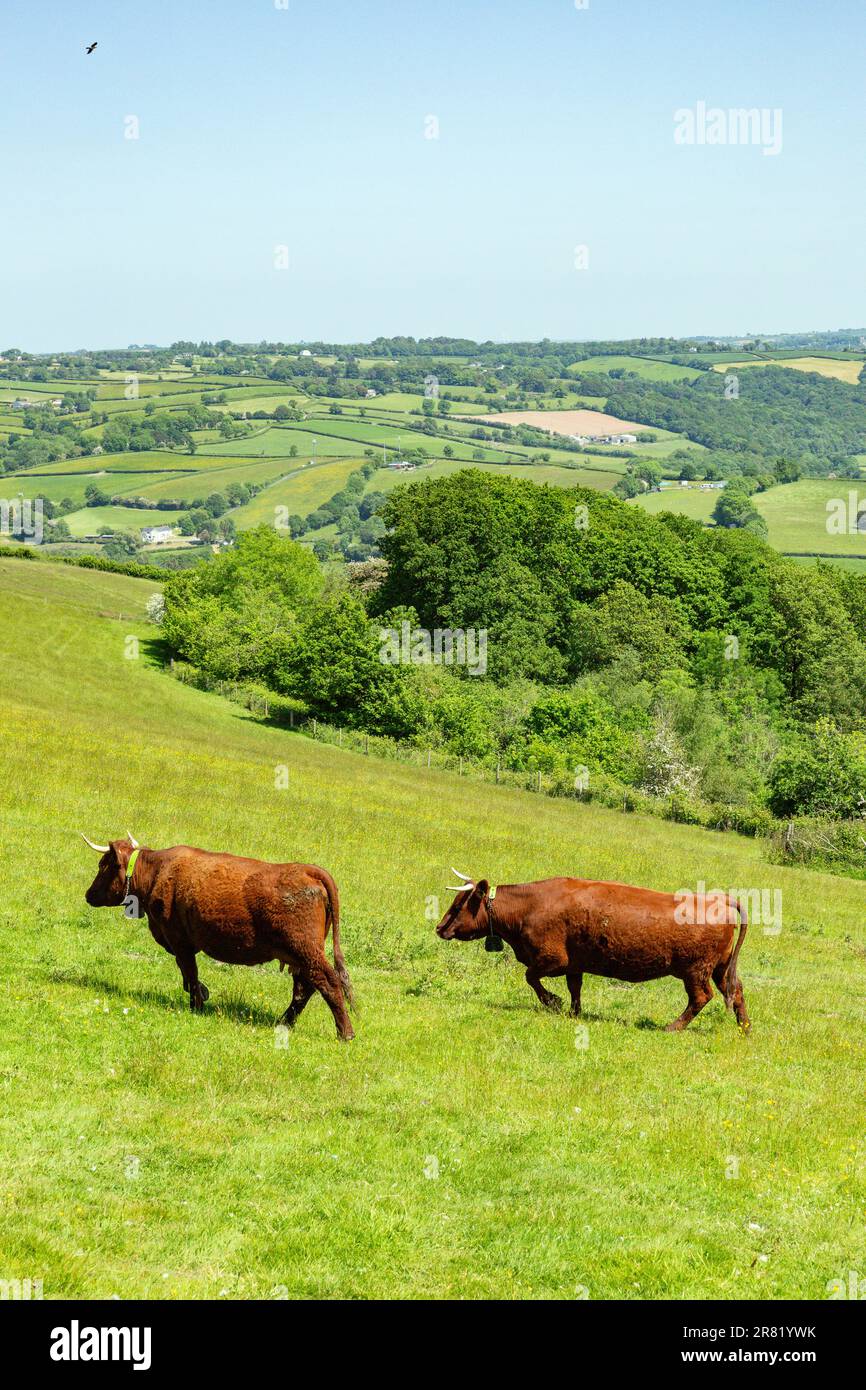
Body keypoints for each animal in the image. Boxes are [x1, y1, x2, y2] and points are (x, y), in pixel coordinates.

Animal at [81, 833, 354, 1040]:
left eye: (103, 865)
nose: (88, 894)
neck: (156, 872)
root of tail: (307, 870)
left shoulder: (179, 940)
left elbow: (190, 973)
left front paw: (197, 1004)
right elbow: (187, 975)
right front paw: (202, 995)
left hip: (306, 950)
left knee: (328, 982)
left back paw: (345, 1033)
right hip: (300, 955)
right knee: (304, 988)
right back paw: (284, 1022)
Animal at [435, 870, 749, 1032]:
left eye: (458, 905)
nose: (439, 928)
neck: (530, 906)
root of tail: (718, 899)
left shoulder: (552, 959)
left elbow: (531, 978)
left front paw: (553, 1002)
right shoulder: (574, 964)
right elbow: (575, 988)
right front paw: (574, 1011)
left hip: (695, 971)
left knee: (701, 997)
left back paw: (673, 1026)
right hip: (720, 967)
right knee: (736, 990)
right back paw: (744, 1028)